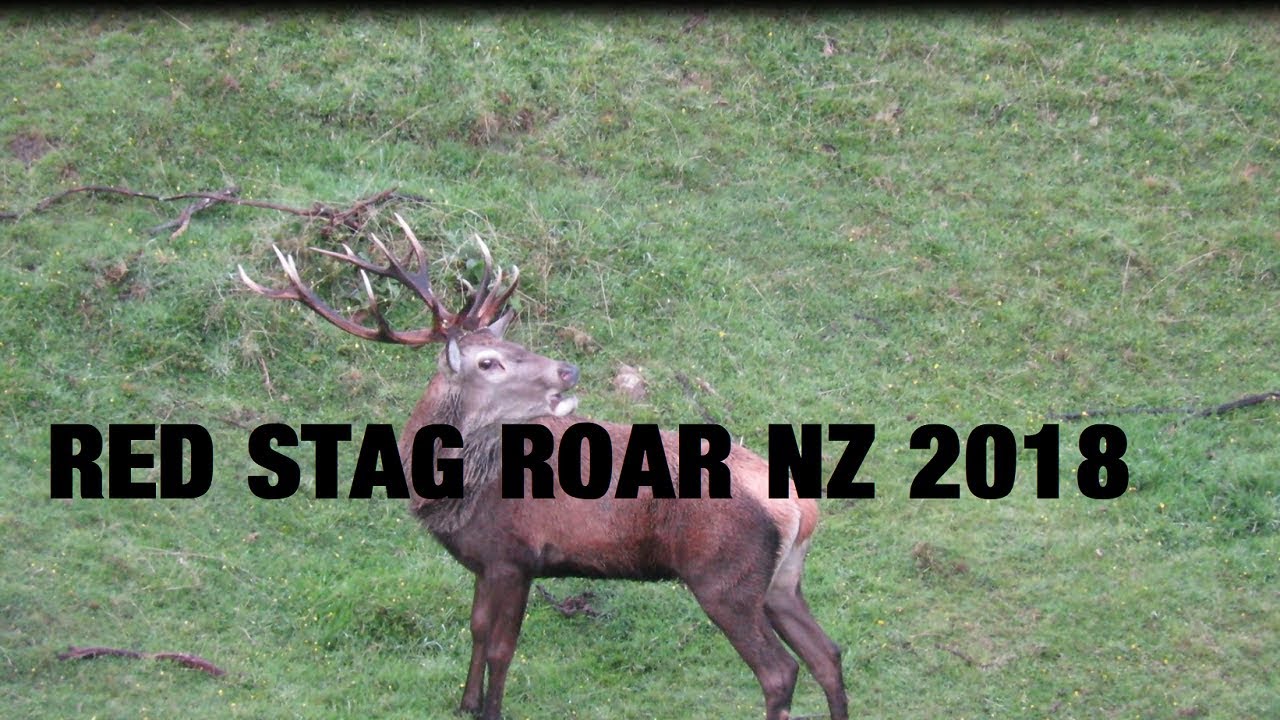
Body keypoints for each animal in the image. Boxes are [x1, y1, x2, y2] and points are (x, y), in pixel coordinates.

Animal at [239, 214, 849, 720]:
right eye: (490, 360)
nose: (567, 369)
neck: (459, 492)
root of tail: (802, 506)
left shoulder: (516, 557)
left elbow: (502, 647)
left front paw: (489, 713)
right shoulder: (487, 561)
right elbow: (476, 630)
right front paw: (465, 705)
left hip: (723, 578)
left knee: (780, 671)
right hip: (781, 581)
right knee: (828, 654)